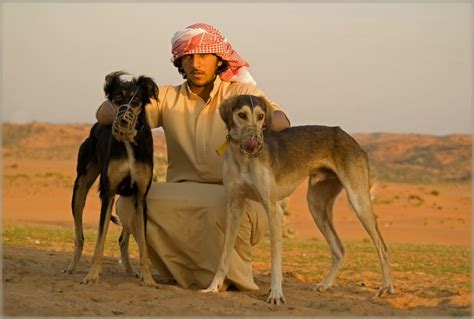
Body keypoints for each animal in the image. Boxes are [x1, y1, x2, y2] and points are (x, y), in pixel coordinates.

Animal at [64, 72, 159, 288]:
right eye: (118, 98)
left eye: (136, 100)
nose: (123, 120)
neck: (129, 142)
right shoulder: (108, 195)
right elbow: (99, 241)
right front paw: (92, 276)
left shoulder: (140, 197)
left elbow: (143, 245)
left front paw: (148, 279)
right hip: (79, 190)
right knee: (80, 236)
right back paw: (72, 266)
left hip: (128, 202)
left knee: (124, 238)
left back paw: (131, 271)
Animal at [202, 94, 394, 304]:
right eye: (242, 115)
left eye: (261, 116)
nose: (256, 143)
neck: (244, 159)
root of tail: (350, 138)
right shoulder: (235, 206)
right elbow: (224, 254)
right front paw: (214, 286)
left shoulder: (273, 209)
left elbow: (275, 259)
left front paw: (276, 294)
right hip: (316, 205)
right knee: (339, 248)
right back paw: (325, 285)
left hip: (358, 201)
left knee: (382, 246)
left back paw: (386, 288)